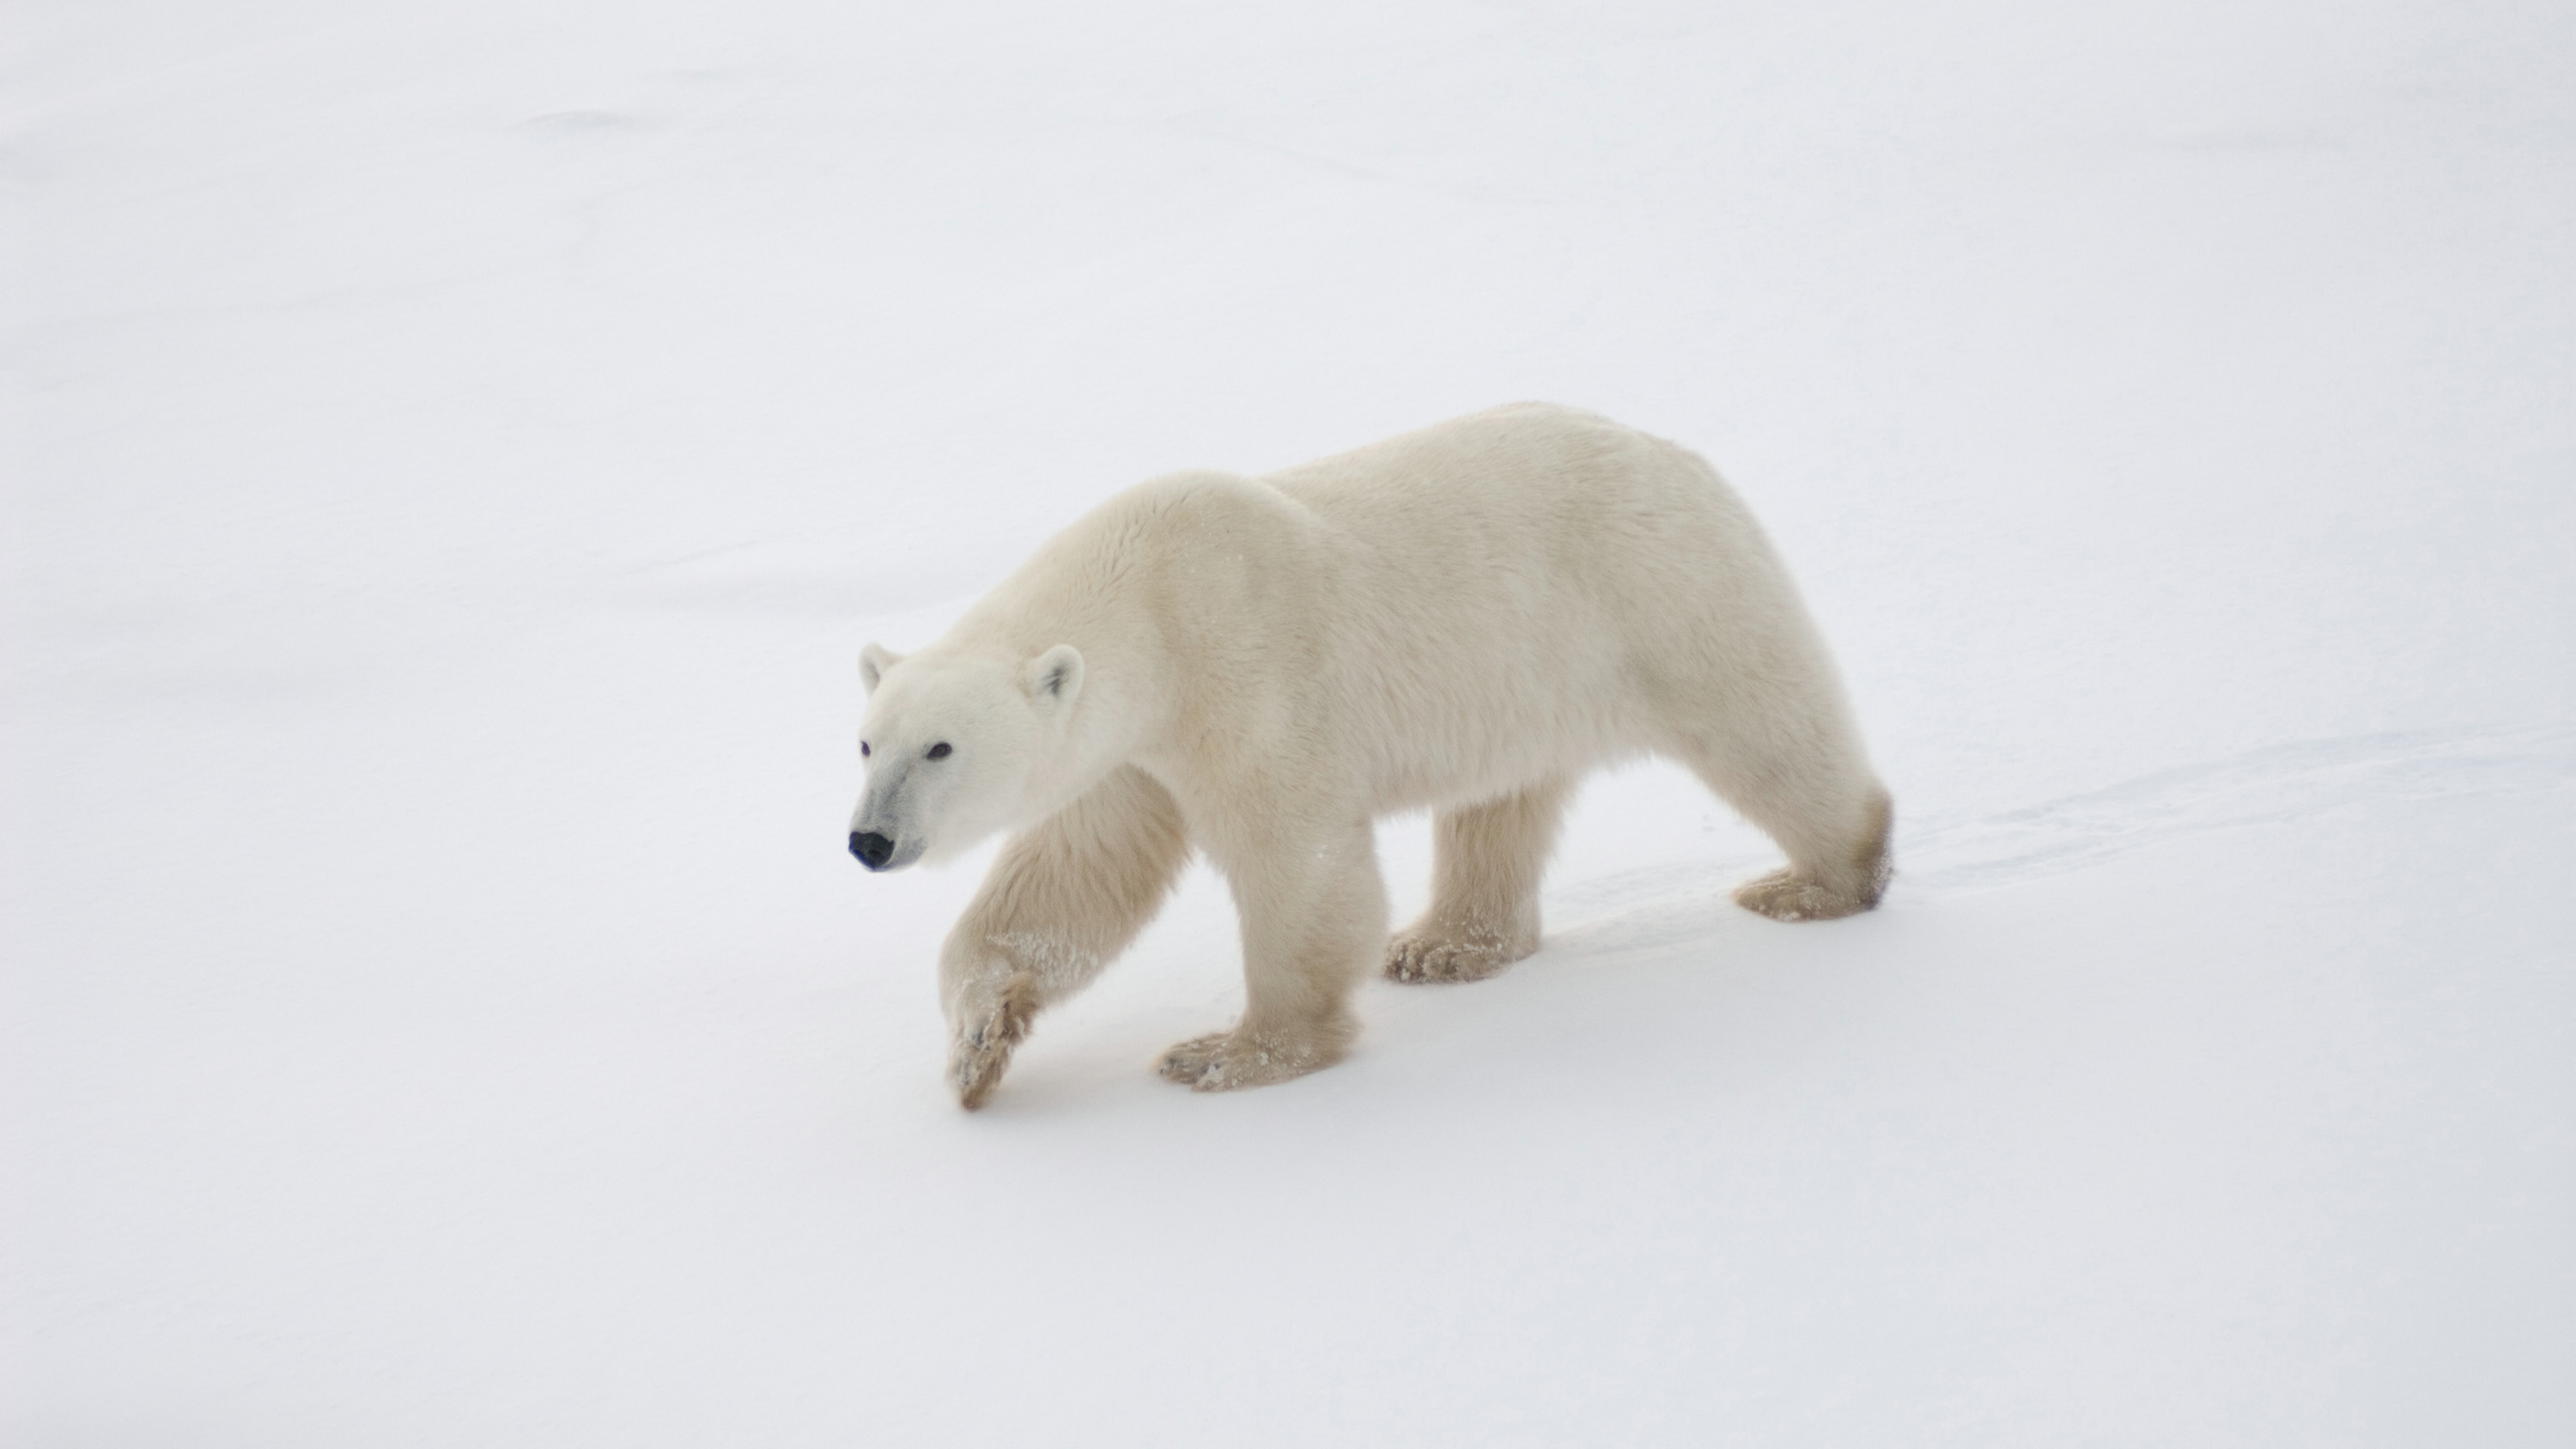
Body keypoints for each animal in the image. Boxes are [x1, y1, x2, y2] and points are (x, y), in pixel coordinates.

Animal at [848, 402, 1891, 1108]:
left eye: (940, 748)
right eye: (864, 741)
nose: (868, 841)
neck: (1149, 597)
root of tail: (1676, 451)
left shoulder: (1240, 670)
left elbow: (1297, 861)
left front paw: (1229, 1051)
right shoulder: (1132, 751)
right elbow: (1072, 881)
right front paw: (976, 1045)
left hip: (1661, 590)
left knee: (1762, 724)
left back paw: (1818, 880)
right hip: (1526, 672)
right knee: (1503, 802)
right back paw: (1444, 945)